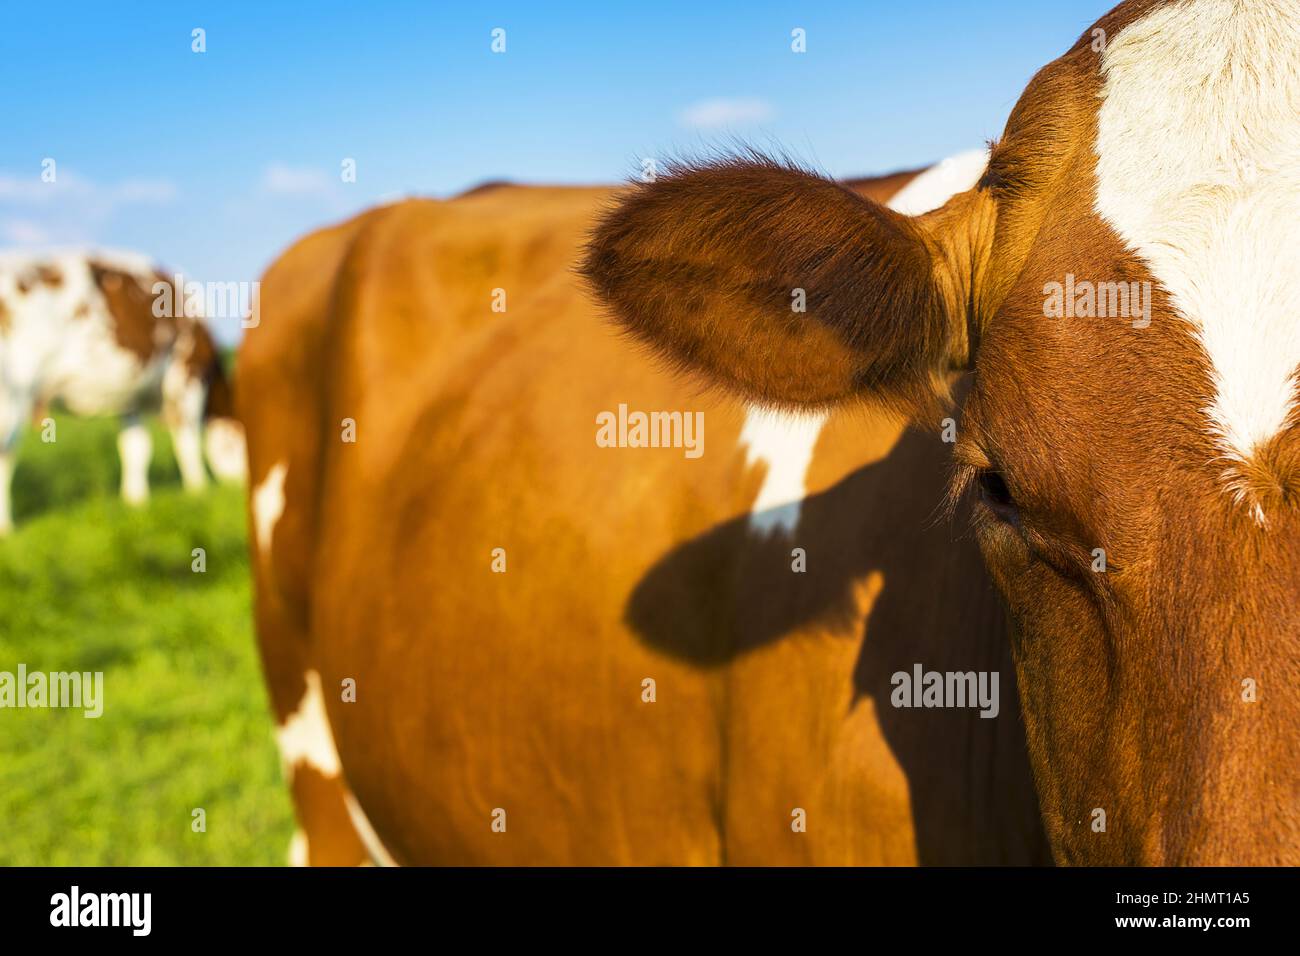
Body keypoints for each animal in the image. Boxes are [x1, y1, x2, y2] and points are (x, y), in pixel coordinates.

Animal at [0, 252, 246, 533]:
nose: (241, 487)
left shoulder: (131, 396)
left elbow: (135, 448)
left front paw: (135, 500)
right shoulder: (186, 375)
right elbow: (188, 441)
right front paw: (198, 490)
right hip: (16, 389)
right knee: (5, 453)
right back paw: (6, 527)